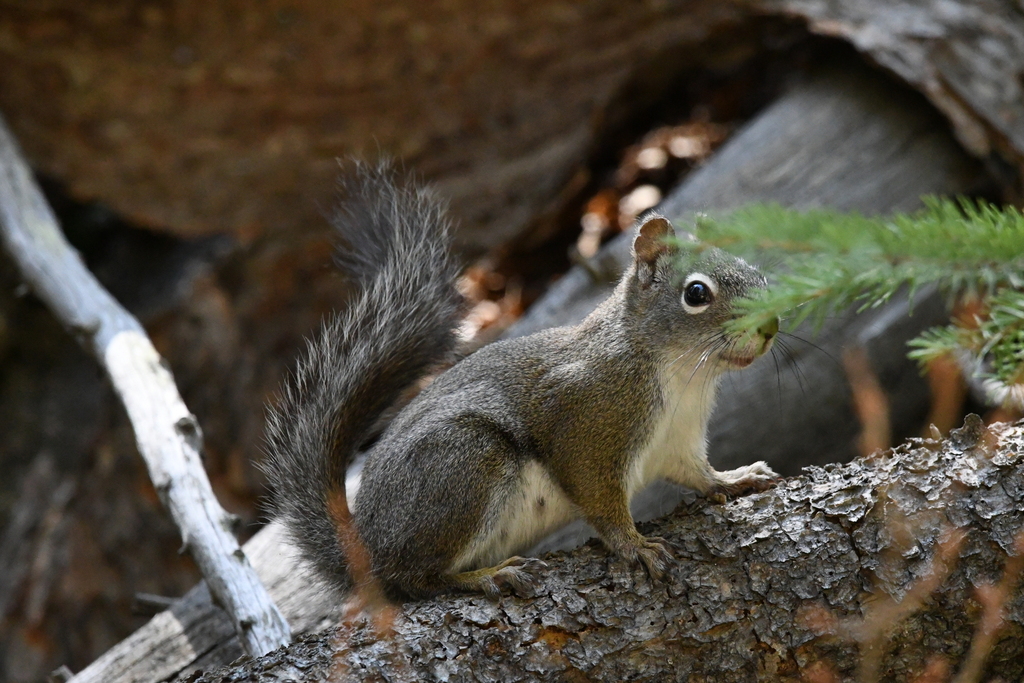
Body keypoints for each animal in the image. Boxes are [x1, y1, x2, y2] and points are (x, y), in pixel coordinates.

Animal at [263, 161, 781, 600]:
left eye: (755, 272)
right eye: (696, 293)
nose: (772, 325)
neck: (683, 377)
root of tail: (368, 545)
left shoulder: (677, 439)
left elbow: (696, 472)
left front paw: (734, 478)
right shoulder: (587, 422)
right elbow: (601, 501)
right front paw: (634, 546)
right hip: (465, 463)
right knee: (416, 577)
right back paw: (486, 576)